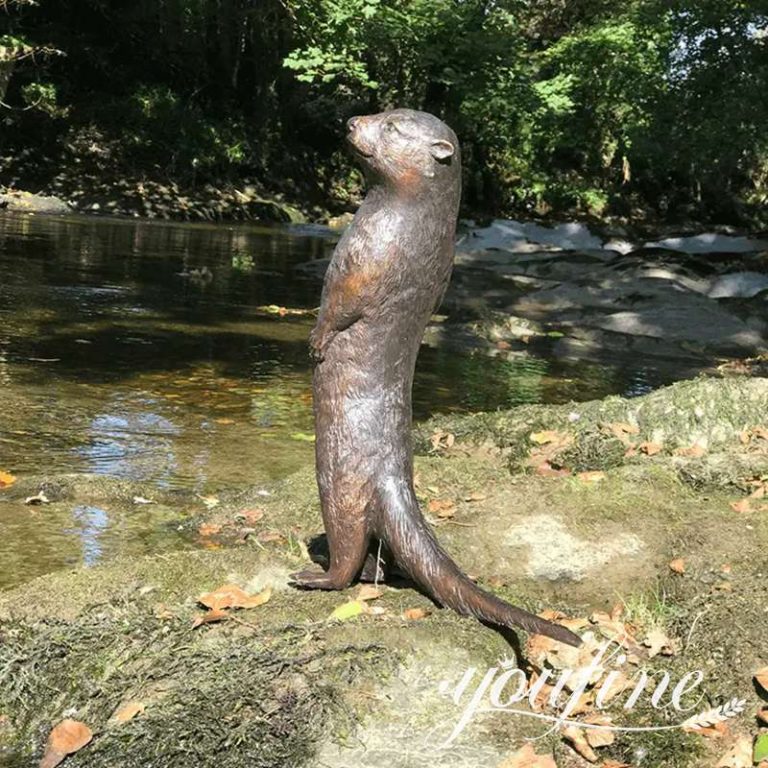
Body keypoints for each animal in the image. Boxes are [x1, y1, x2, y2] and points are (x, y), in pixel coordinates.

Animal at [291, 109, 580, 647]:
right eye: (381, 111)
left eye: (391, 127)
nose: (352, 120)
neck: (409, 226)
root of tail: (392, 480)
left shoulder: (372, 261)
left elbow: (343, 307)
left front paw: (317, 340)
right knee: (378, 562)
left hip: (338, 483)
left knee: (349, 553)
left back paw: (313, 576)